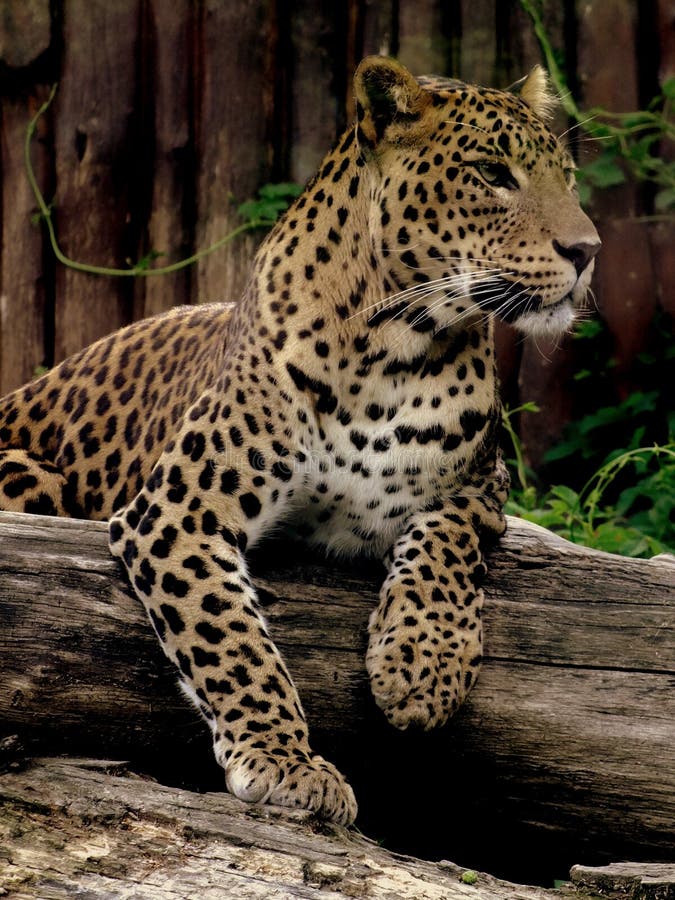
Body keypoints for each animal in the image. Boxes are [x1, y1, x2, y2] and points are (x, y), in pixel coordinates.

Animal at [0, 56, 599, 825]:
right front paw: (288, 762)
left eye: (567, 176)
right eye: (493, 173)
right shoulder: (177, 513)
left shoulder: (481, 487)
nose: (587, 251)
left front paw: (421, 667)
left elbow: (444, 543)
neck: (398, 349)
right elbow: (230, 636)